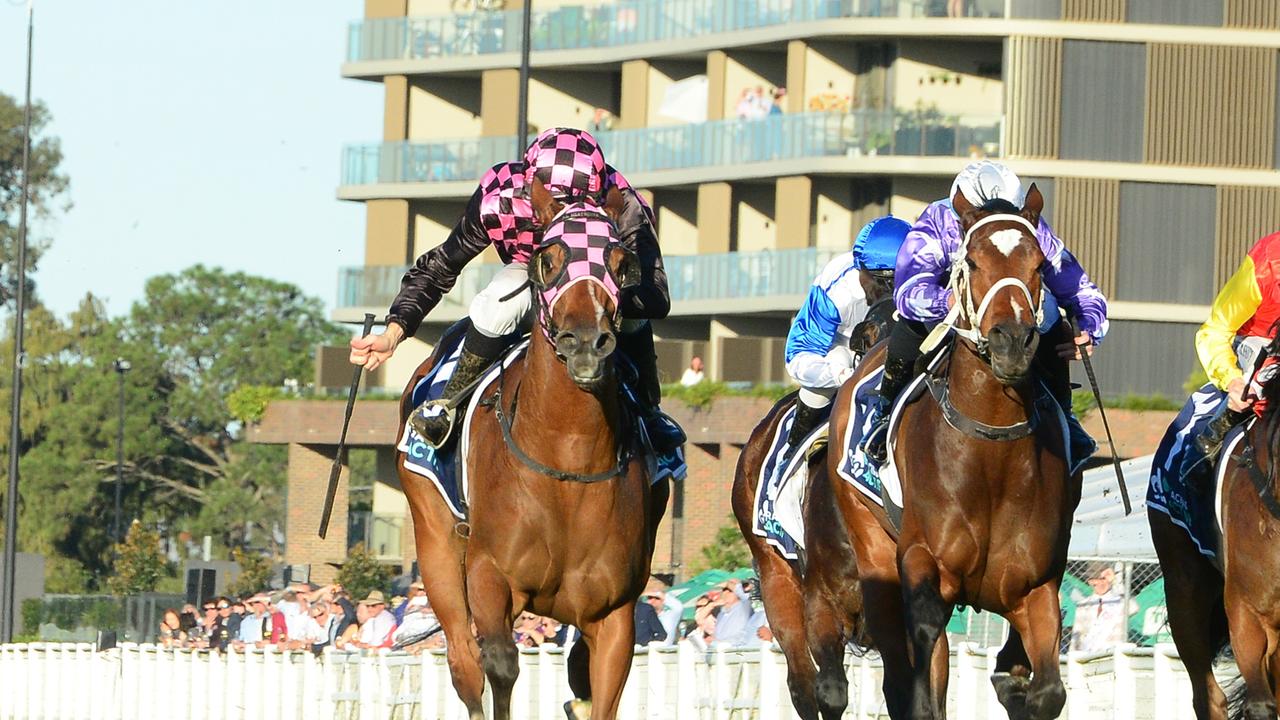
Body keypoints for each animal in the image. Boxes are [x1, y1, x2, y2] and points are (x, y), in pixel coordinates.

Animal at [395, 180, 667, 720]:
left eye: (621, 261)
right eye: (549, 258)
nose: (586, 342)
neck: (567, 459)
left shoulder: (615, 614)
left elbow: (599, 692)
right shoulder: (489, 577)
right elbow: (499, 665)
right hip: (435, 545)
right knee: (464, 663)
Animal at [829, 185, 1080, 720]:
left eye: (1039, 265)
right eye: (974, 261)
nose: (1013, 341)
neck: (989, 452)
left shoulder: (1035, 587)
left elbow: (1046, 691)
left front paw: (1017, 686)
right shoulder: (924, 571)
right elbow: (923, 684)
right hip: (872, 553)